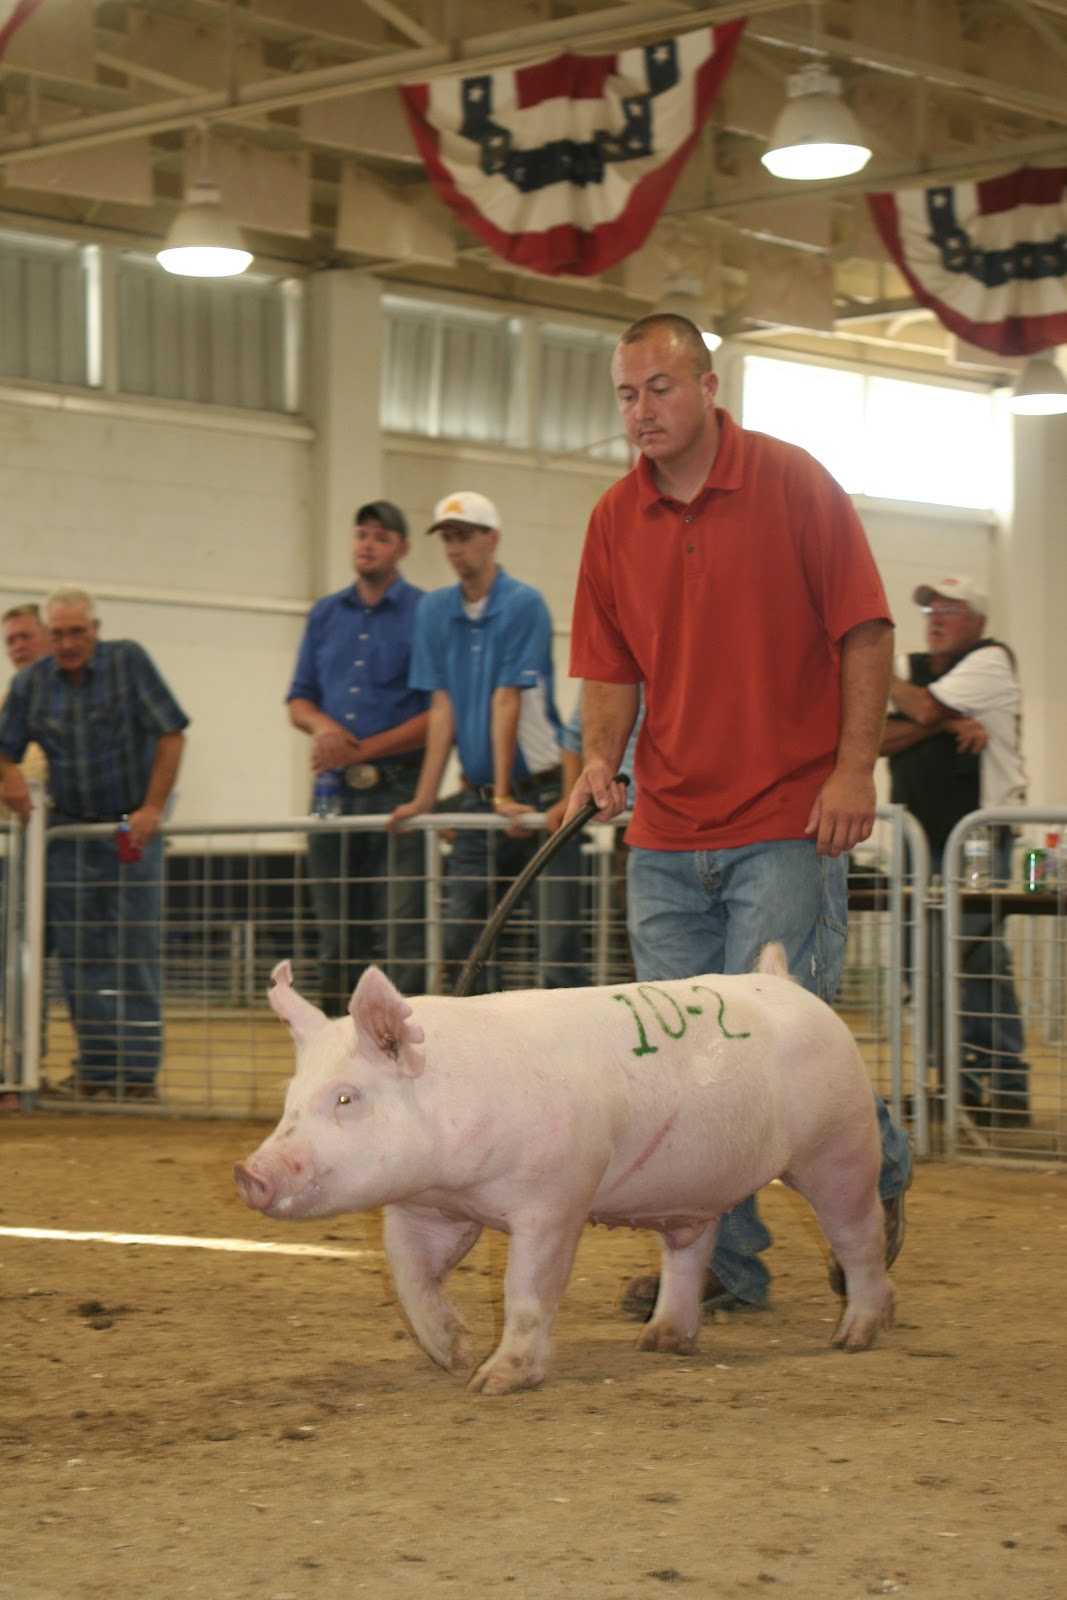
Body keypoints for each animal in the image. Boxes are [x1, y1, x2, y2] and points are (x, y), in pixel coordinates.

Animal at [234, 945, 895, 1395]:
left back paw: (853, 1338)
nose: (249, 1172)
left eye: (346, 1098)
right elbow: (410, 1278)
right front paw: (455, 1354)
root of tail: (790, 985)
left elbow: (527, 1288)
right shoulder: (425, 1207)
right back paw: (657, 1343)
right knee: (689, 1249)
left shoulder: (557, 1196)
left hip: (840, 1145)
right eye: (291, 1097)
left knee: (859, 1237)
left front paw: (492, 1382)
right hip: (696, 1179)